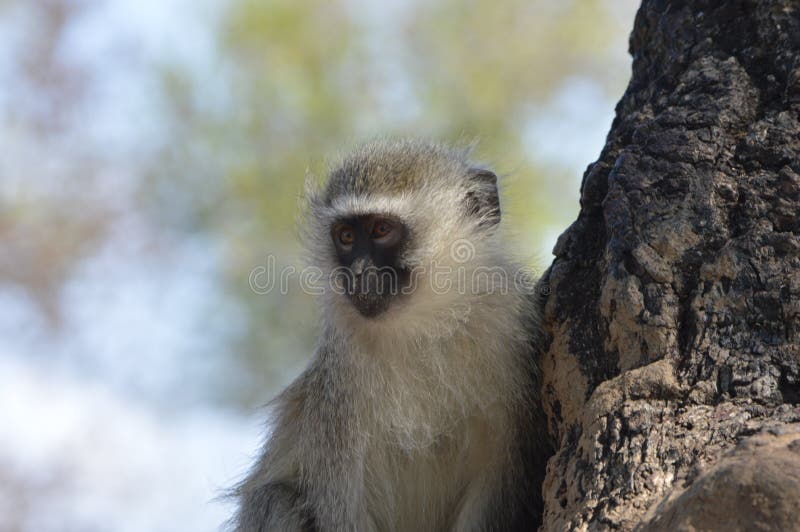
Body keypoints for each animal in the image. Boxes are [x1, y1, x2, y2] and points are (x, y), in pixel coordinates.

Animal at [232, 139, 551, 532]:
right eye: (346, 237)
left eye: (382, 229)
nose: (357, 272)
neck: (422, 326)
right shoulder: (339, 395)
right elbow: (341, 507)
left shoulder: (512, 334)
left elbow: (496, 483)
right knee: (274, 499)